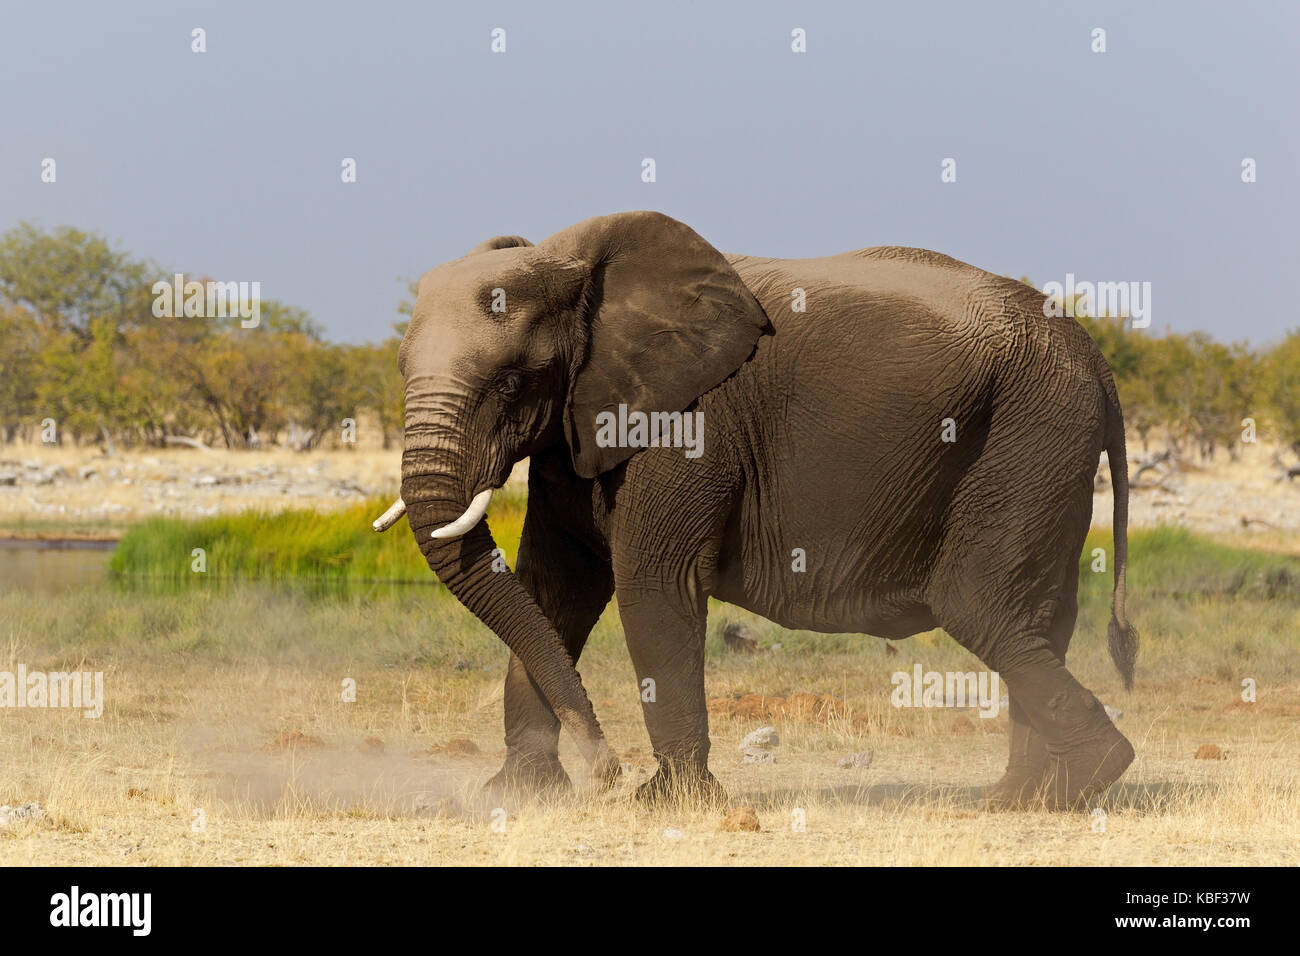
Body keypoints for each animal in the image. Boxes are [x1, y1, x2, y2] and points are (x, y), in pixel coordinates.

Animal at [373, 210, 1138, 810]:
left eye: (509, 382)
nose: (606, 768)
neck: (571, 261)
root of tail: (1095, 357)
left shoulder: (685, 424)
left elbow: (653, 586)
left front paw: (667, 803)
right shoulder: (574, 431)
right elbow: (552, 590)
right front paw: (520, 796)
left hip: (1029, 431)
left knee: (981, 605)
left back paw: (1074, 784)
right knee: (1037, 617)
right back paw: (1022, 796)